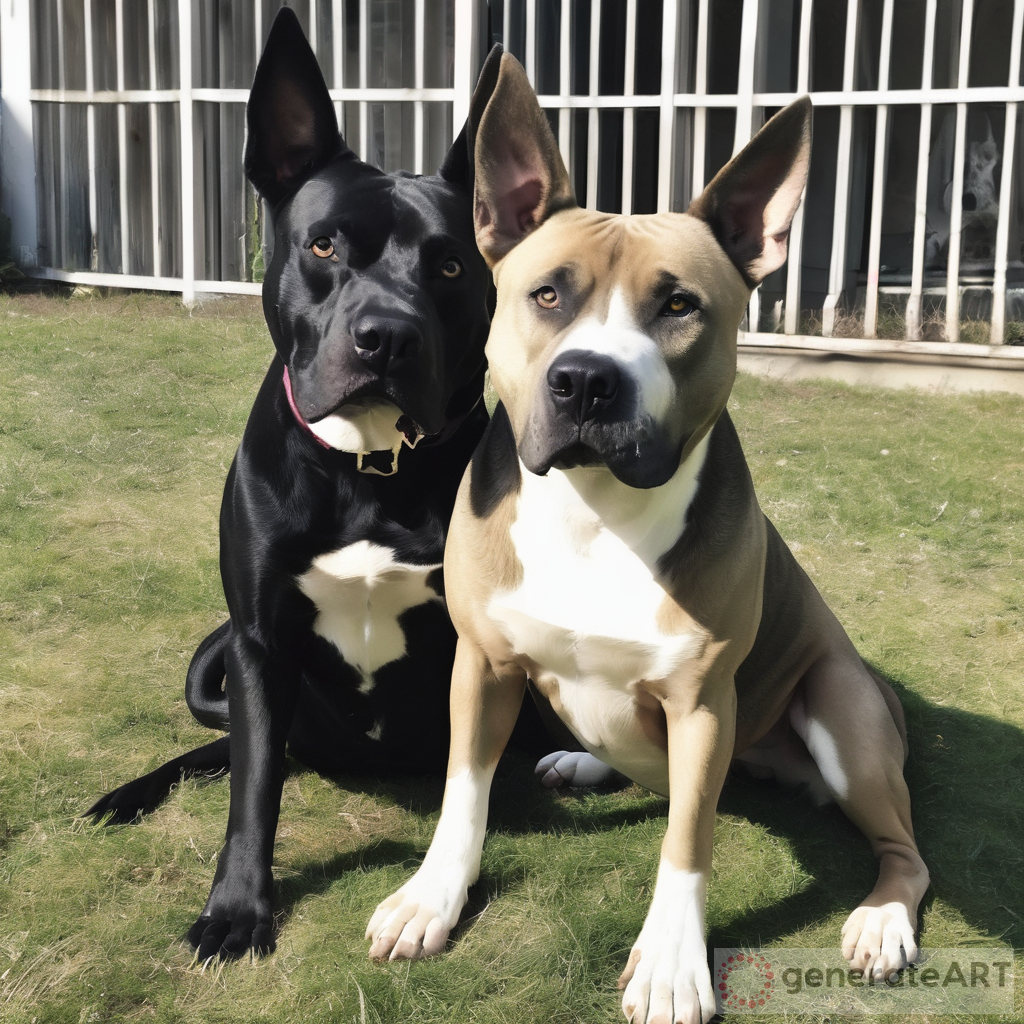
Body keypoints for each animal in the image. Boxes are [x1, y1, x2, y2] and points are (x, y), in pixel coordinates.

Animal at [89, 9, 499, 958]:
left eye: (450, 267)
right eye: (323, 245)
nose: (386, 337)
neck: (369, 466)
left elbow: (466, 783)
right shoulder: (258, 644)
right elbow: (252, 789)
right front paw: (238, 908)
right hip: (235, 682)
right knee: (228, 750)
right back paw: (129, 794)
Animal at [366, 51, 929, 1024]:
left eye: (678, 305)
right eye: (547, 293)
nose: (588, 381)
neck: (596, 513)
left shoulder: (703, 705)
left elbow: (687, 843)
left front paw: (671, 961)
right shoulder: (481, 662)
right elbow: (463, 794)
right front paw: (432, 898)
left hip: (843, 714)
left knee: (903, 847)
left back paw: (883, 918)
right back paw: (584, 762)